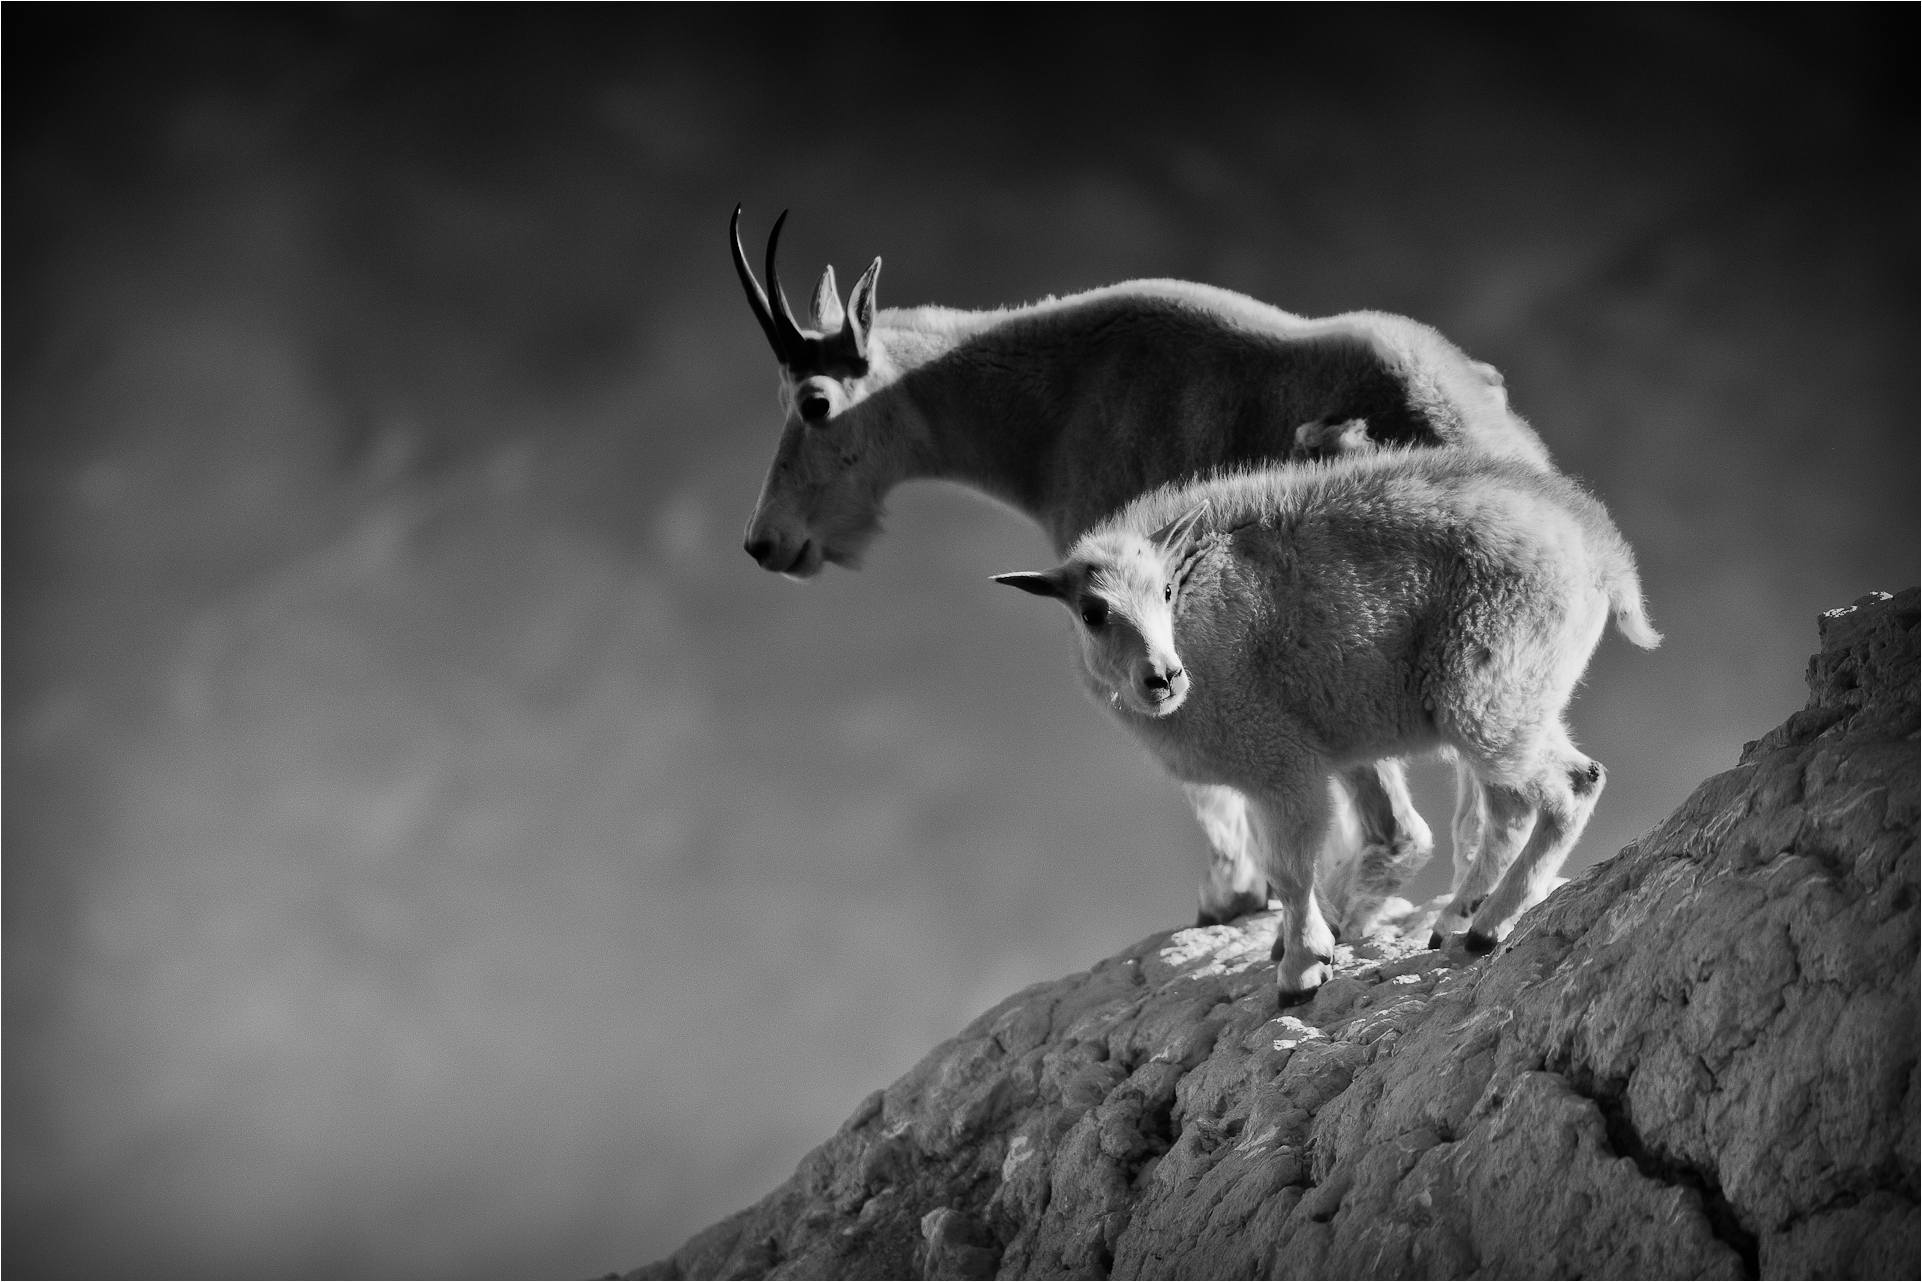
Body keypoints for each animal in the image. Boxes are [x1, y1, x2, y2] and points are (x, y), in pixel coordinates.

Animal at [995, 448, 1660, 1002]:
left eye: (1163, 592)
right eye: (1092, 611)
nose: (1163, 677)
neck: (1197, 616)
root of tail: (1603, 549)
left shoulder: (1281, 765)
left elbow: (1290, 873)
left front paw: (1301, 970)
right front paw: (1310, 949)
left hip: (1488, 700)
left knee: (1566, 788)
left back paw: (1486, 929)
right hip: (1513, 705)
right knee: (1526, 801)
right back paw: (1458, 922)